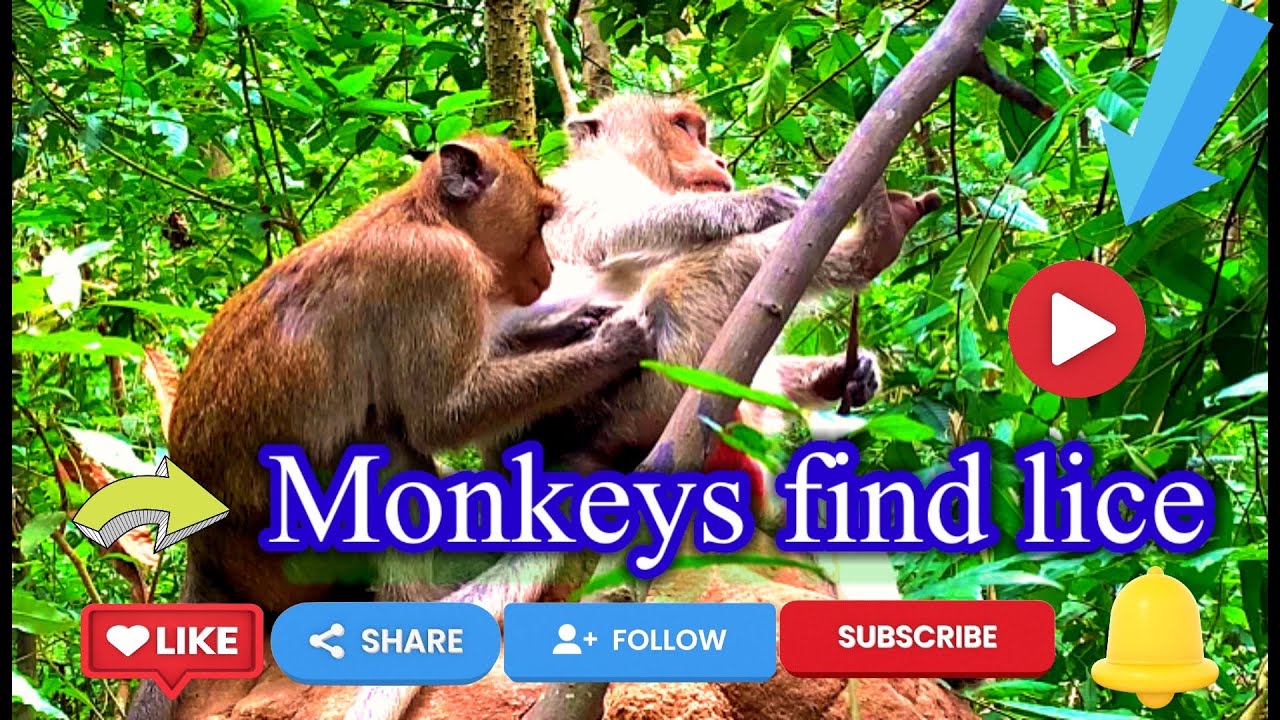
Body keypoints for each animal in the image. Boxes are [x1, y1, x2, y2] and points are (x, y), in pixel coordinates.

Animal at [127, 134, 658, 720]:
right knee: (380, 440)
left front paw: (576, 324)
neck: (431, 217)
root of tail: (202, 550)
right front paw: (613, 345)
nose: (545, 270)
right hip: (290, 560)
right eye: (541, 218)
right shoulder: (439, 273)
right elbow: (441, 417)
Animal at [343, 95, 940, 720]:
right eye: (683, 127)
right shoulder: (581, 191)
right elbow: (617, 231)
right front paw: (756, 206)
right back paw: (870, 244)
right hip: (640, 388)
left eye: (700, 131)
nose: (717, 158)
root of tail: (567, 463)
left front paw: (846, 374)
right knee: (722, 270)